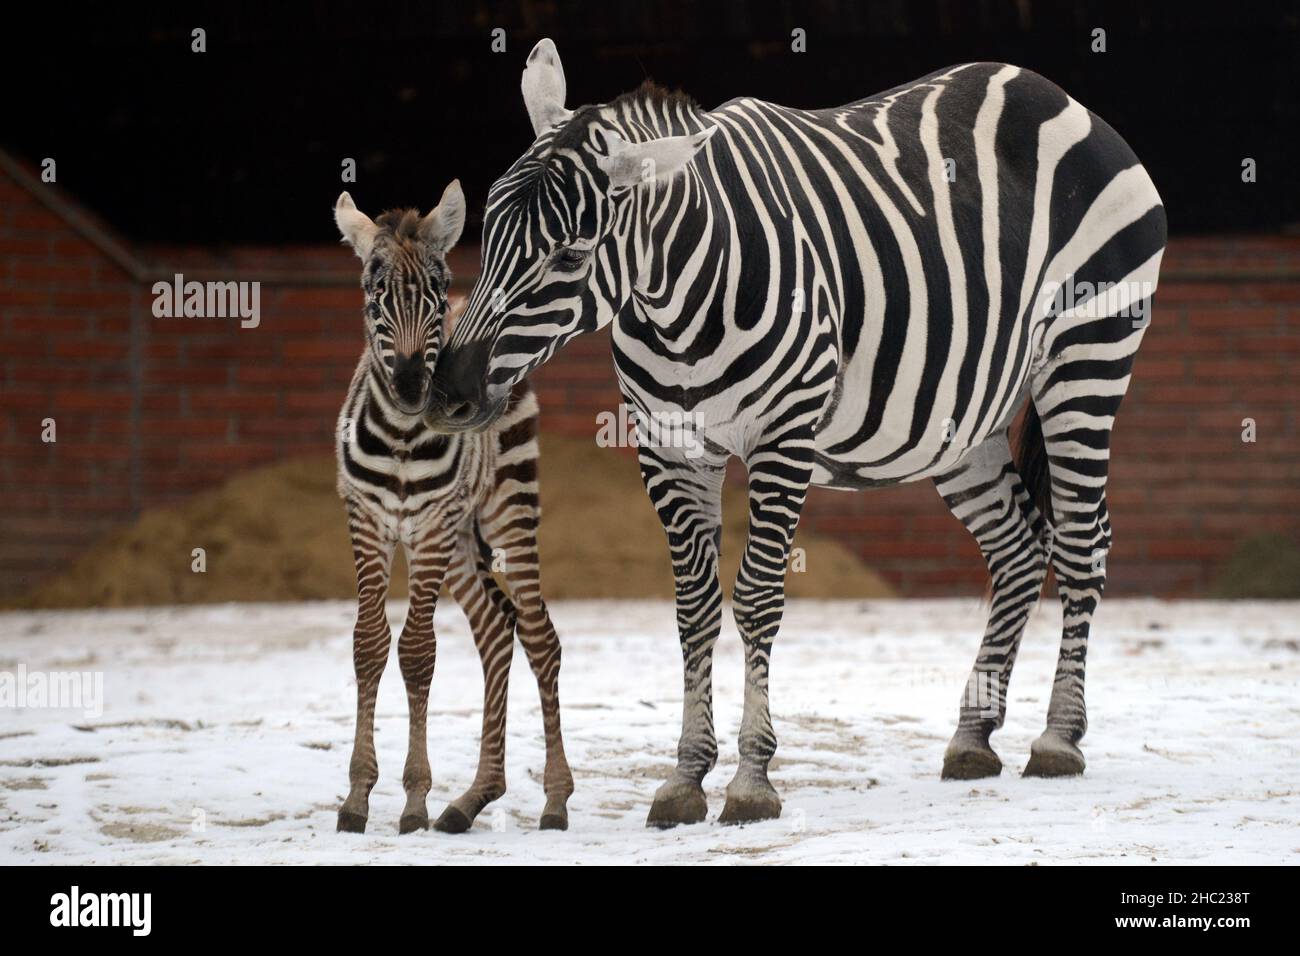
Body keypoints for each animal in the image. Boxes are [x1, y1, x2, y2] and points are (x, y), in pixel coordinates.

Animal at [331, 182, 573, 834]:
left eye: (435, 295)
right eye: (374, 294)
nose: (417, 388)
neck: (400, 438)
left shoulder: (432, 526)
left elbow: (418, 653)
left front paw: (414, 800)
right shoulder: (368, 521)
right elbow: (368, 644)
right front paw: (357, 798)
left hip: (506, 507)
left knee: (539, 635)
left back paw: (555, 800)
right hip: (462, 538)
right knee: (495, 627)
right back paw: (474, 798)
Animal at [426, 40, 1166, 827]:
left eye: (569, 254)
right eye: (488, 230)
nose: (448, 394)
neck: (677, 300)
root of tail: (1051, 93)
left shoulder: (782, 439)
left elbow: (756, 597)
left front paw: (752, 779)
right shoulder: (669, 450)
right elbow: (694, 607)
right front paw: (685, 777)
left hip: (1087, 358)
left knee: (1084, 542)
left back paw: (1058, 738)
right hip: (963, 420)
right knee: (1020, 550)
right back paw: (973, 734)